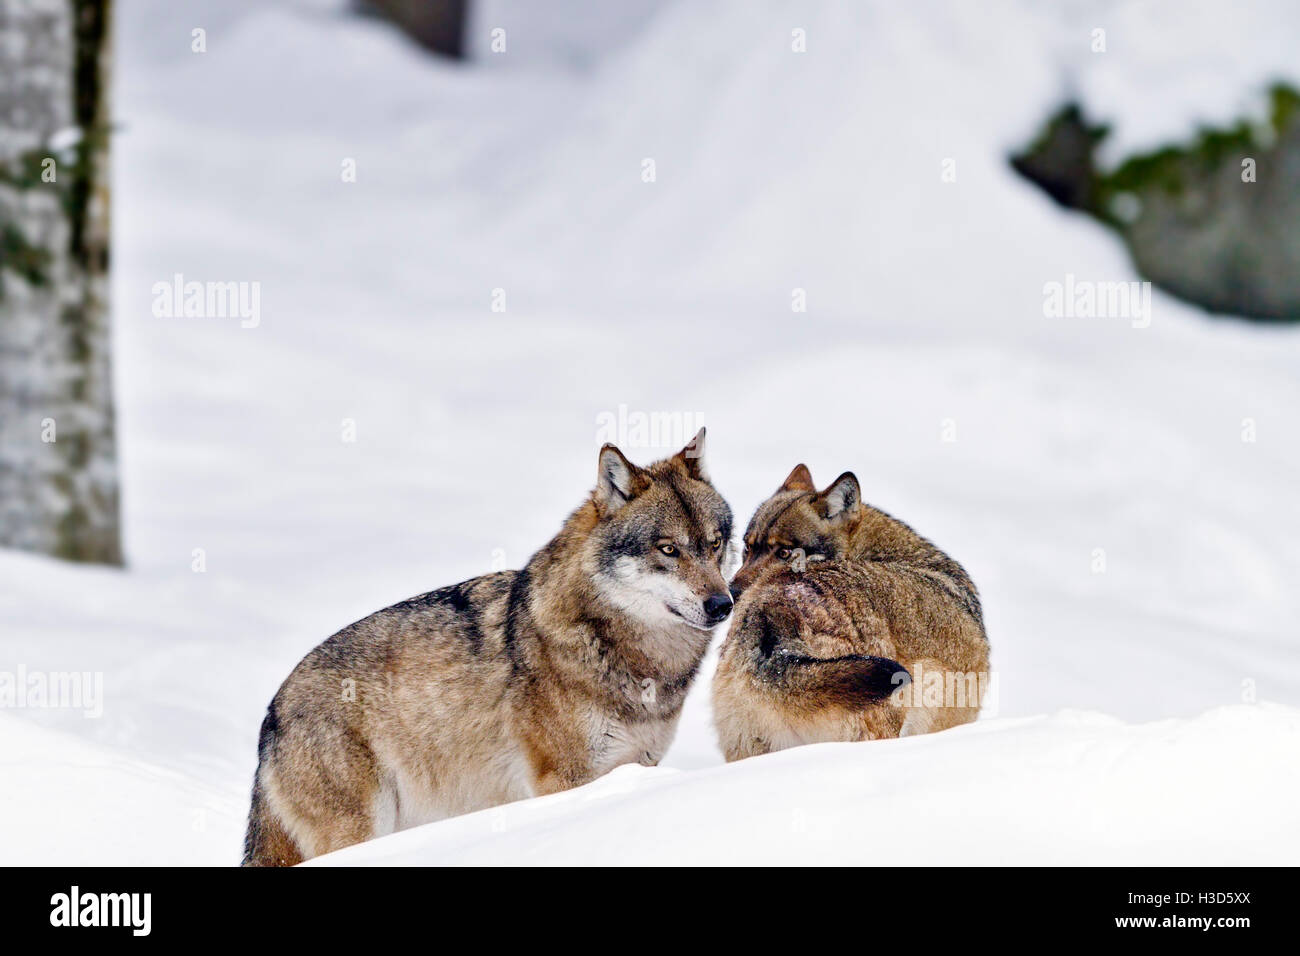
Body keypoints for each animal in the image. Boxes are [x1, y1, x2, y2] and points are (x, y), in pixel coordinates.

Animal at [243, 430, 734, 865]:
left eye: (714, 544)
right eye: (668, 549)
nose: (723, 604)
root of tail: (272, 712)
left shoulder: (638, 767)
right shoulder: (563, 779)